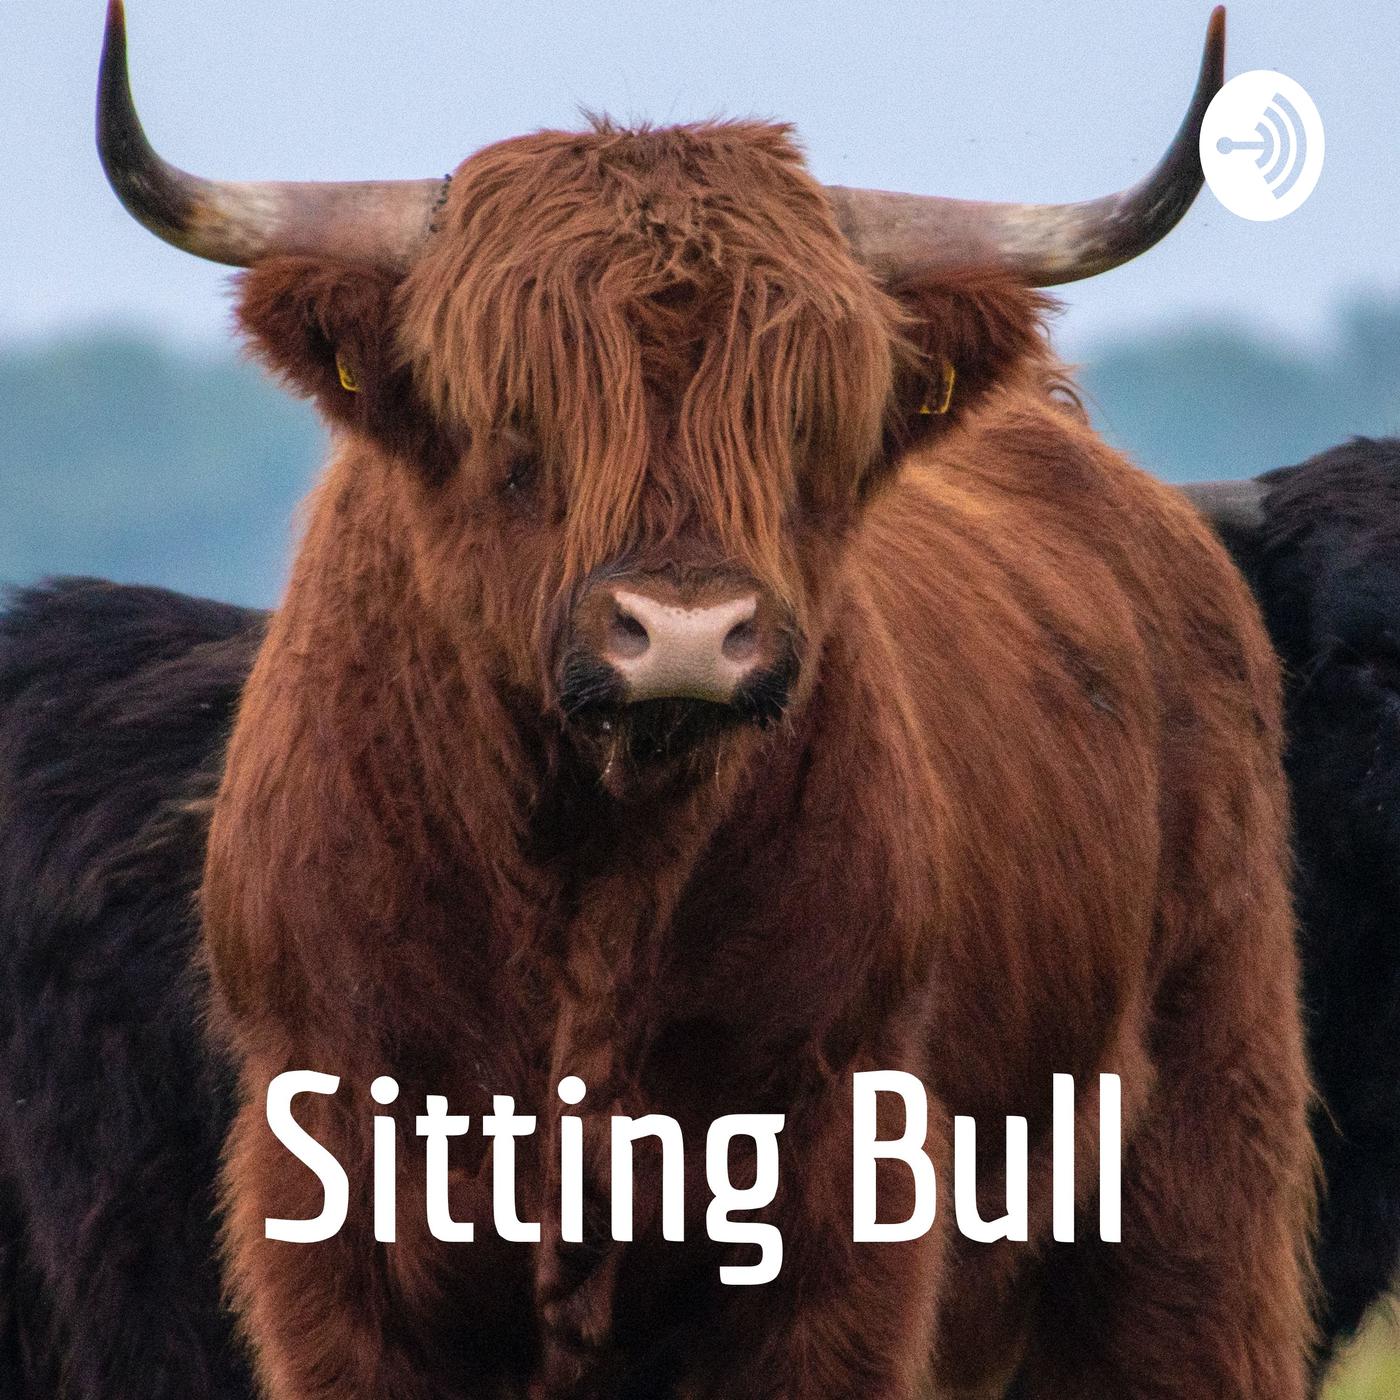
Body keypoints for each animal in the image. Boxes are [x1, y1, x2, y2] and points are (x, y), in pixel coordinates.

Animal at [1, 5, 1319, 1398]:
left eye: (803, 422)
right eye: (512, 417)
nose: (685, 635)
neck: (590, 879)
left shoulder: (833, 1234)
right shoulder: (337, 1240)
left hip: (1196, 1186)